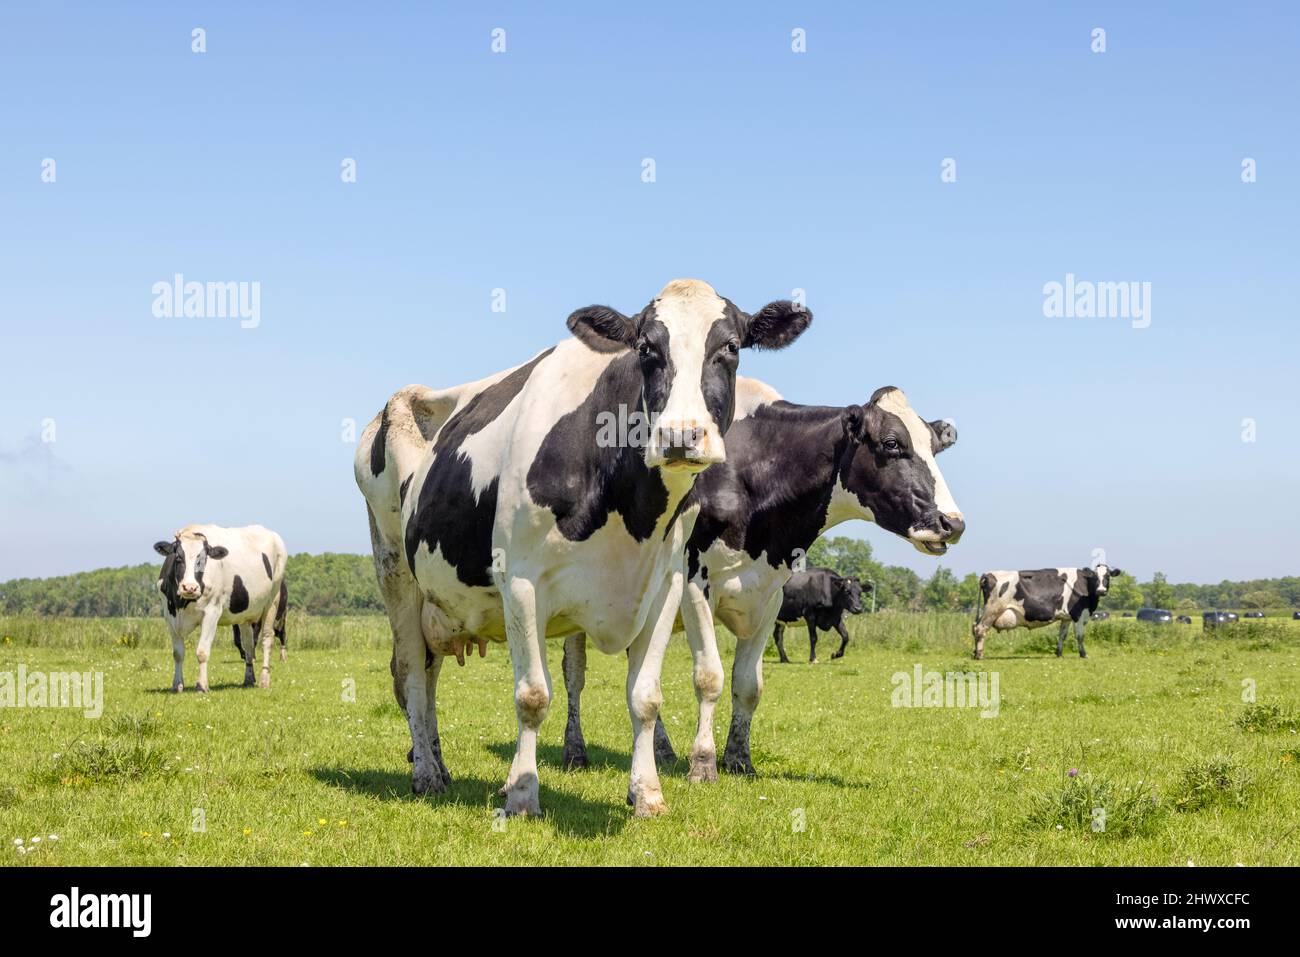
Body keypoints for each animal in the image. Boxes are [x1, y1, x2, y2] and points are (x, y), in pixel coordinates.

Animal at [153, 524, 288, 692]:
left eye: (204, 559)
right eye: (178, 557)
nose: (190, 587)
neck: (182, 604)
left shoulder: (212, 612)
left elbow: (202, 652)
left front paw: (202, 685)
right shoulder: (170, 616)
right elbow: (177, 653)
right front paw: (177, 685)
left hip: (272, 603)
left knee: (267, 639)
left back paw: (264, 680)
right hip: (245, 614)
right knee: (248, 645)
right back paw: (249, 679)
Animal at [354, 279, 811, 817]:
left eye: (731, 348)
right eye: (646, 348)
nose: (681, 436)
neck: (629, 513)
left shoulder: (667, 585)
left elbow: (646, 697)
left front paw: (647, 794)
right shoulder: (521, 582)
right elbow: (532, 696)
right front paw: (522, 795)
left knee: (427, 673)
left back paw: (439, 768)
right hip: (395, 571)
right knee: (410, 673)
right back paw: (426, 774)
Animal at [561, 379, 964, 780]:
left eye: (935, 447)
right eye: (892, 443)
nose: (953, 523)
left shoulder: (771, 597)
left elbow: (748, 684)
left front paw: (739, 759)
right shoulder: (694, 582)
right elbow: (709, 677)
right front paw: (703, 763)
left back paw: (661, 750)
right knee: (574, 673)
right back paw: (575, 751)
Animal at [970, 564, 1123, 660]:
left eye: (1108, 576)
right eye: (1095, 577)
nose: (1101, 590)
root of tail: (987, 574)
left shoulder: (1066, 617)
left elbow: (1062, 635)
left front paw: (1059, 653)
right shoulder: (1079, 615)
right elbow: (1080, 636)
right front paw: (1083, 654)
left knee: (975, 627)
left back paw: (975, 653)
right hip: (992, 610)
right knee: (980, 629)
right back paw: (979, 655)